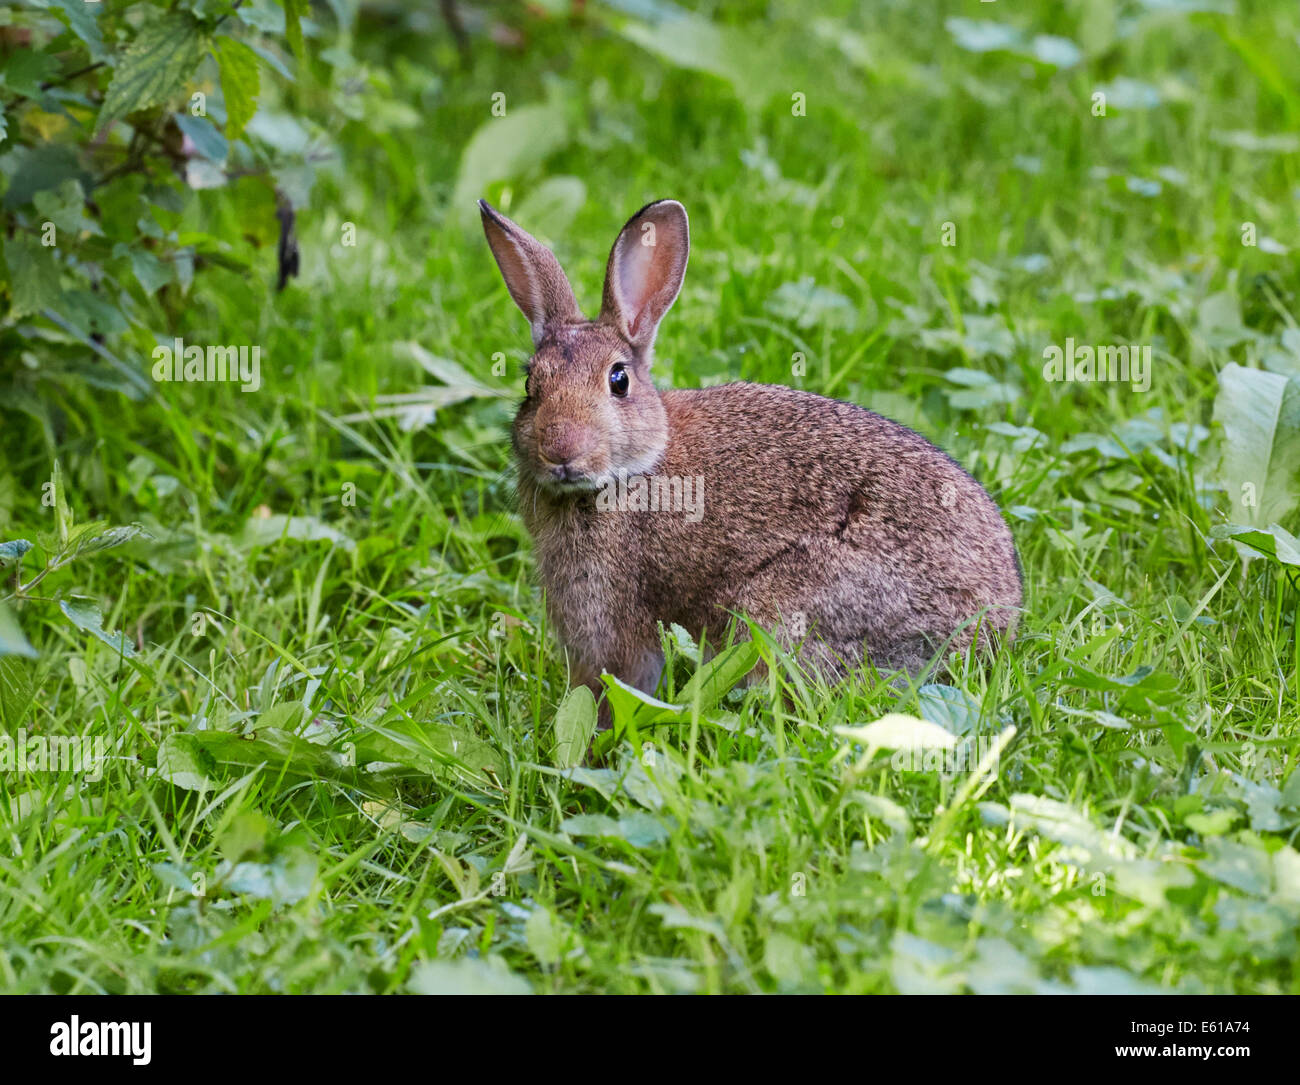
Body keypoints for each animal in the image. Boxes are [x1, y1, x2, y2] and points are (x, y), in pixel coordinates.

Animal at [479, 197, 1022, 723]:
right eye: (530, 385)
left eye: (619, 380)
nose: (560, 449)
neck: (630, 474)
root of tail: (994, 626)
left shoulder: (617, 622)